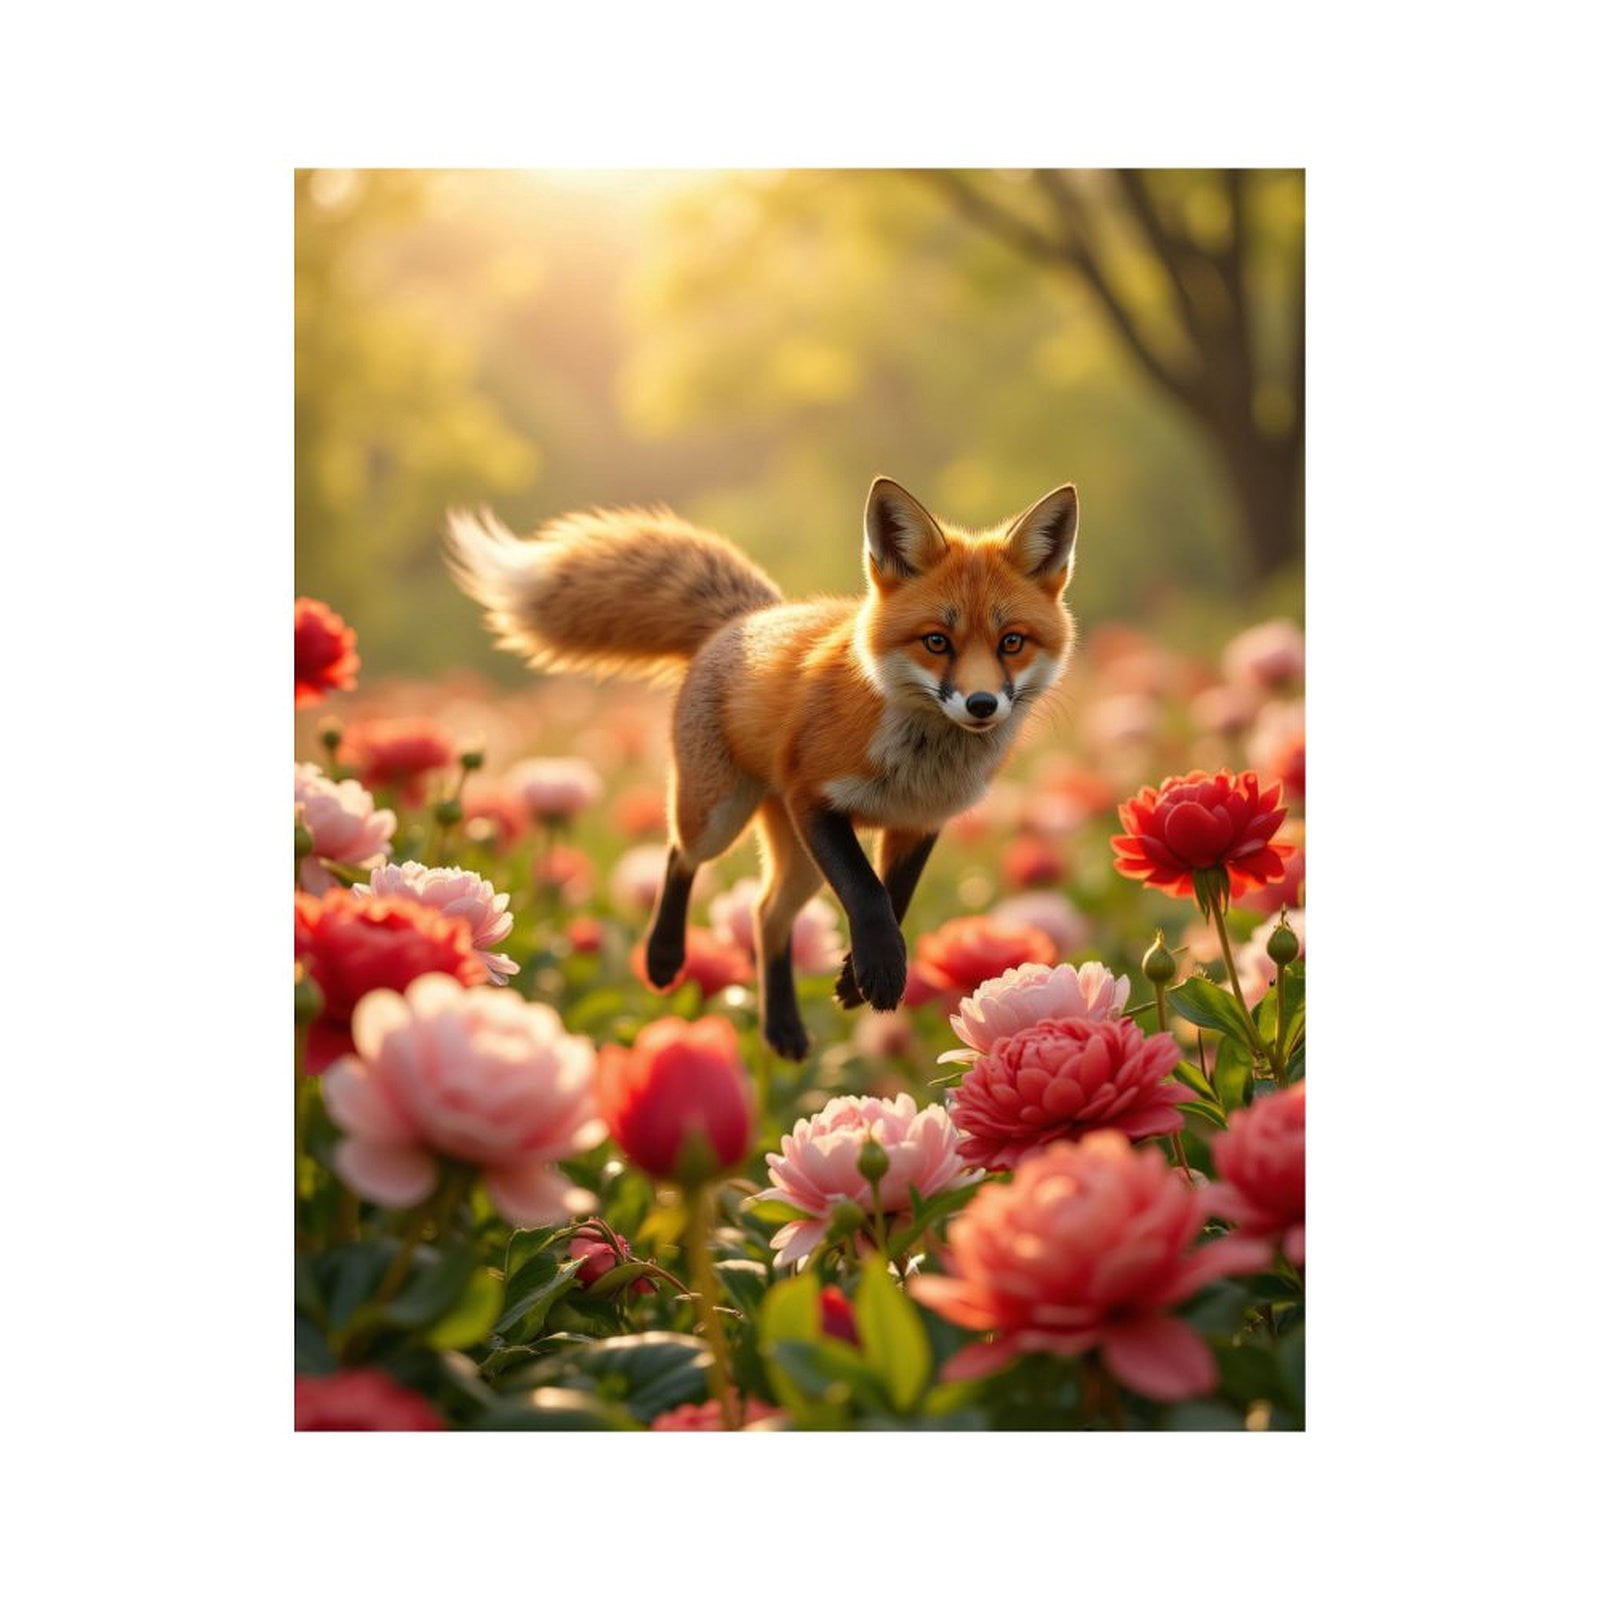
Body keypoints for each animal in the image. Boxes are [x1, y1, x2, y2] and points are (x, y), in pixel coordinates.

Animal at [444, 476, 1079, 1060]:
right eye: (937, 642)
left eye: (1012, 642)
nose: (981, 704)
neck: (918, 760)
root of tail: (749, 617)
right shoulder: (813, 799)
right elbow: (869, 894)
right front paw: (877, 969)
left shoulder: (919, 823)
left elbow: (895, 898)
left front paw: (856, 977)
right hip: (722, 817)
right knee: (680, 857)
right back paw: (664, 956)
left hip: (797, 858)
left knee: (766, 914)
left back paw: (782, 1028)